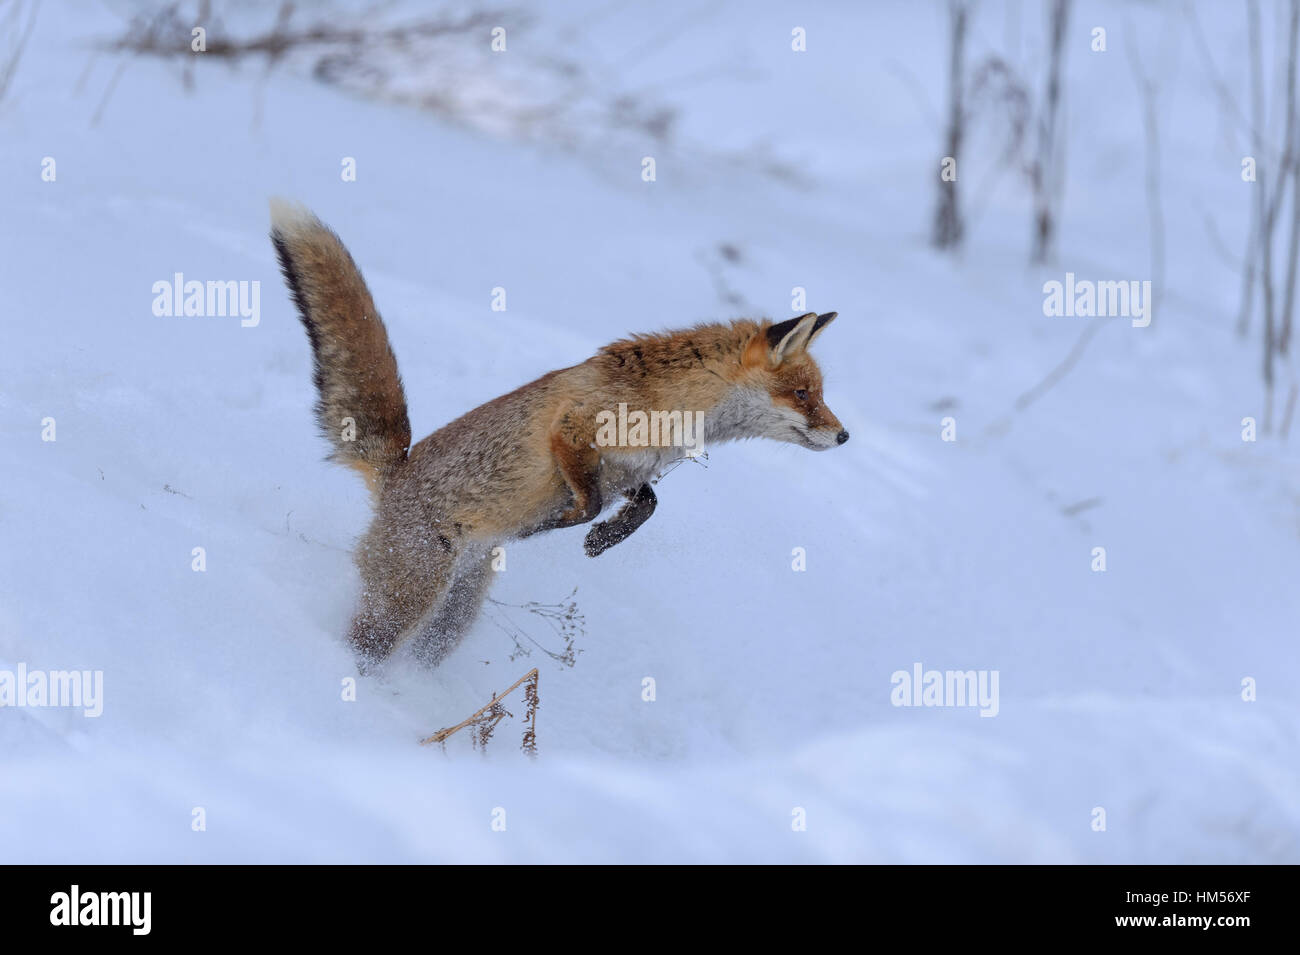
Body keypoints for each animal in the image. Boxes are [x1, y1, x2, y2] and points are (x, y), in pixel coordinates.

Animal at [269, 202, 848, 669]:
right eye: (804, 395)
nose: (843, 437)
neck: (675, 408)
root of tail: (394, 477)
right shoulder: (573, 429)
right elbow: (586, 501)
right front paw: (563, 525)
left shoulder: (632, 472)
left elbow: (646, 505)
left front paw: (602, 539)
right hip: (408, 597)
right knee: (365, 646)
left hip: (454, 615)